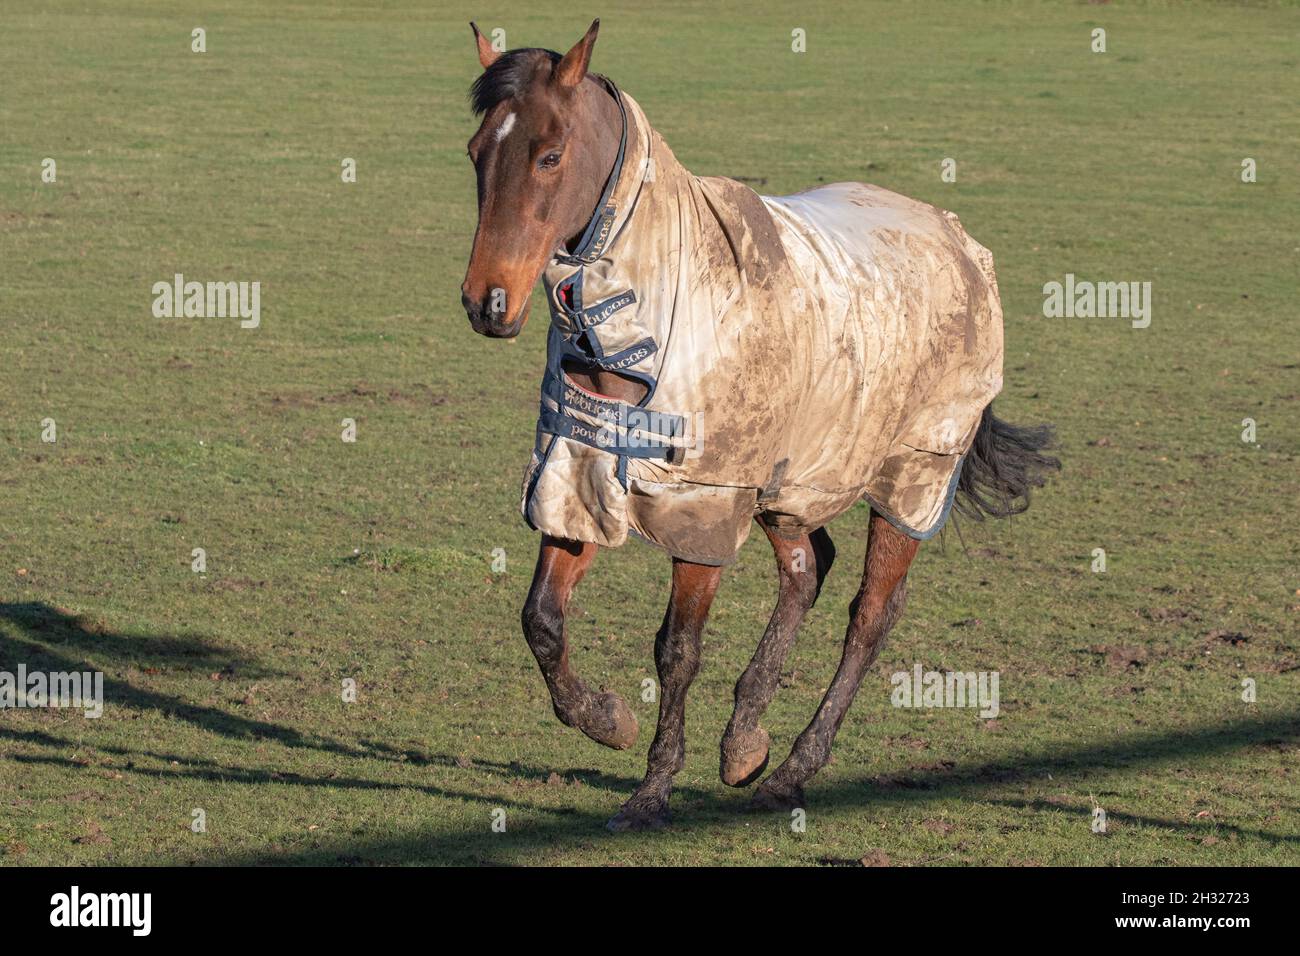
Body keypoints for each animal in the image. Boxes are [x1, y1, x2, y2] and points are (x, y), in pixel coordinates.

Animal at [459, 20, 1059, 831]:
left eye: (550, 154)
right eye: (476, 151)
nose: (487, 301)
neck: (652, 309)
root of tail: (958, 238)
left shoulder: (706, 507)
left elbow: (677, 650)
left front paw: (651, 790)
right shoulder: (578, 471)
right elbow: (543, 621)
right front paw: (607, 718)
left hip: (912, 476)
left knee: (870, 615)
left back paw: (793, 768)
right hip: (795, 480)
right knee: (807, 568)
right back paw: (746, 741)